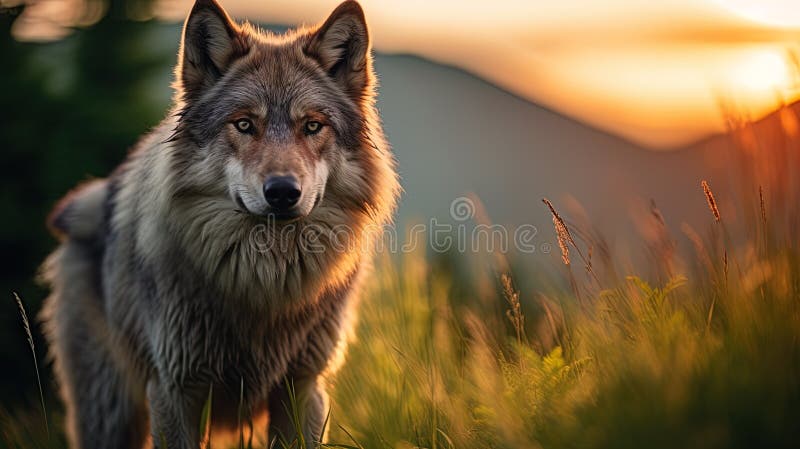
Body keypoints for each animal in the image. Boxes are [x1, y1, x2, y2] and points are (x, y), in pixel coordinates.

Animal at [39, 1, 399, 447]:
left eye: (312, 126)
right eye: (244, 124)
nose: (283, 191)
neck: (263, 282)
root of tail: (85, 201)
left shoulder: (302, 388)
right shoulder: (175, 390)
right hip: (110, 414)